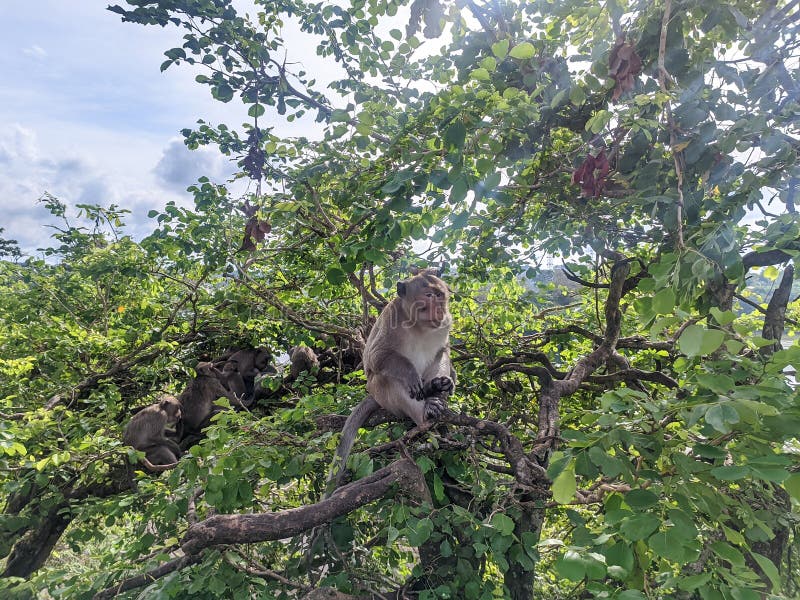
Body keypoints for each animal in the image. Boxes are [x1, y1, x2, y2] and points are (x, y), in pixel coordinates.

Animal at [325, 270, 456, 496]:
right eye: (428, 296)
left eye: (440, 296)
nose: (439, 309)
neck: (419, 326)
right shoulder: (391, 319)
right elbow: (377, 356)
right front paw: (411, 375)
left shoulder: (445, 324)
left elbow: (443, 350)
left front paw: (443, 382)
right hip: (381, 394)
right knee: (386, 378)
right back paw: (425, 412)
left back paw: (435, 390)